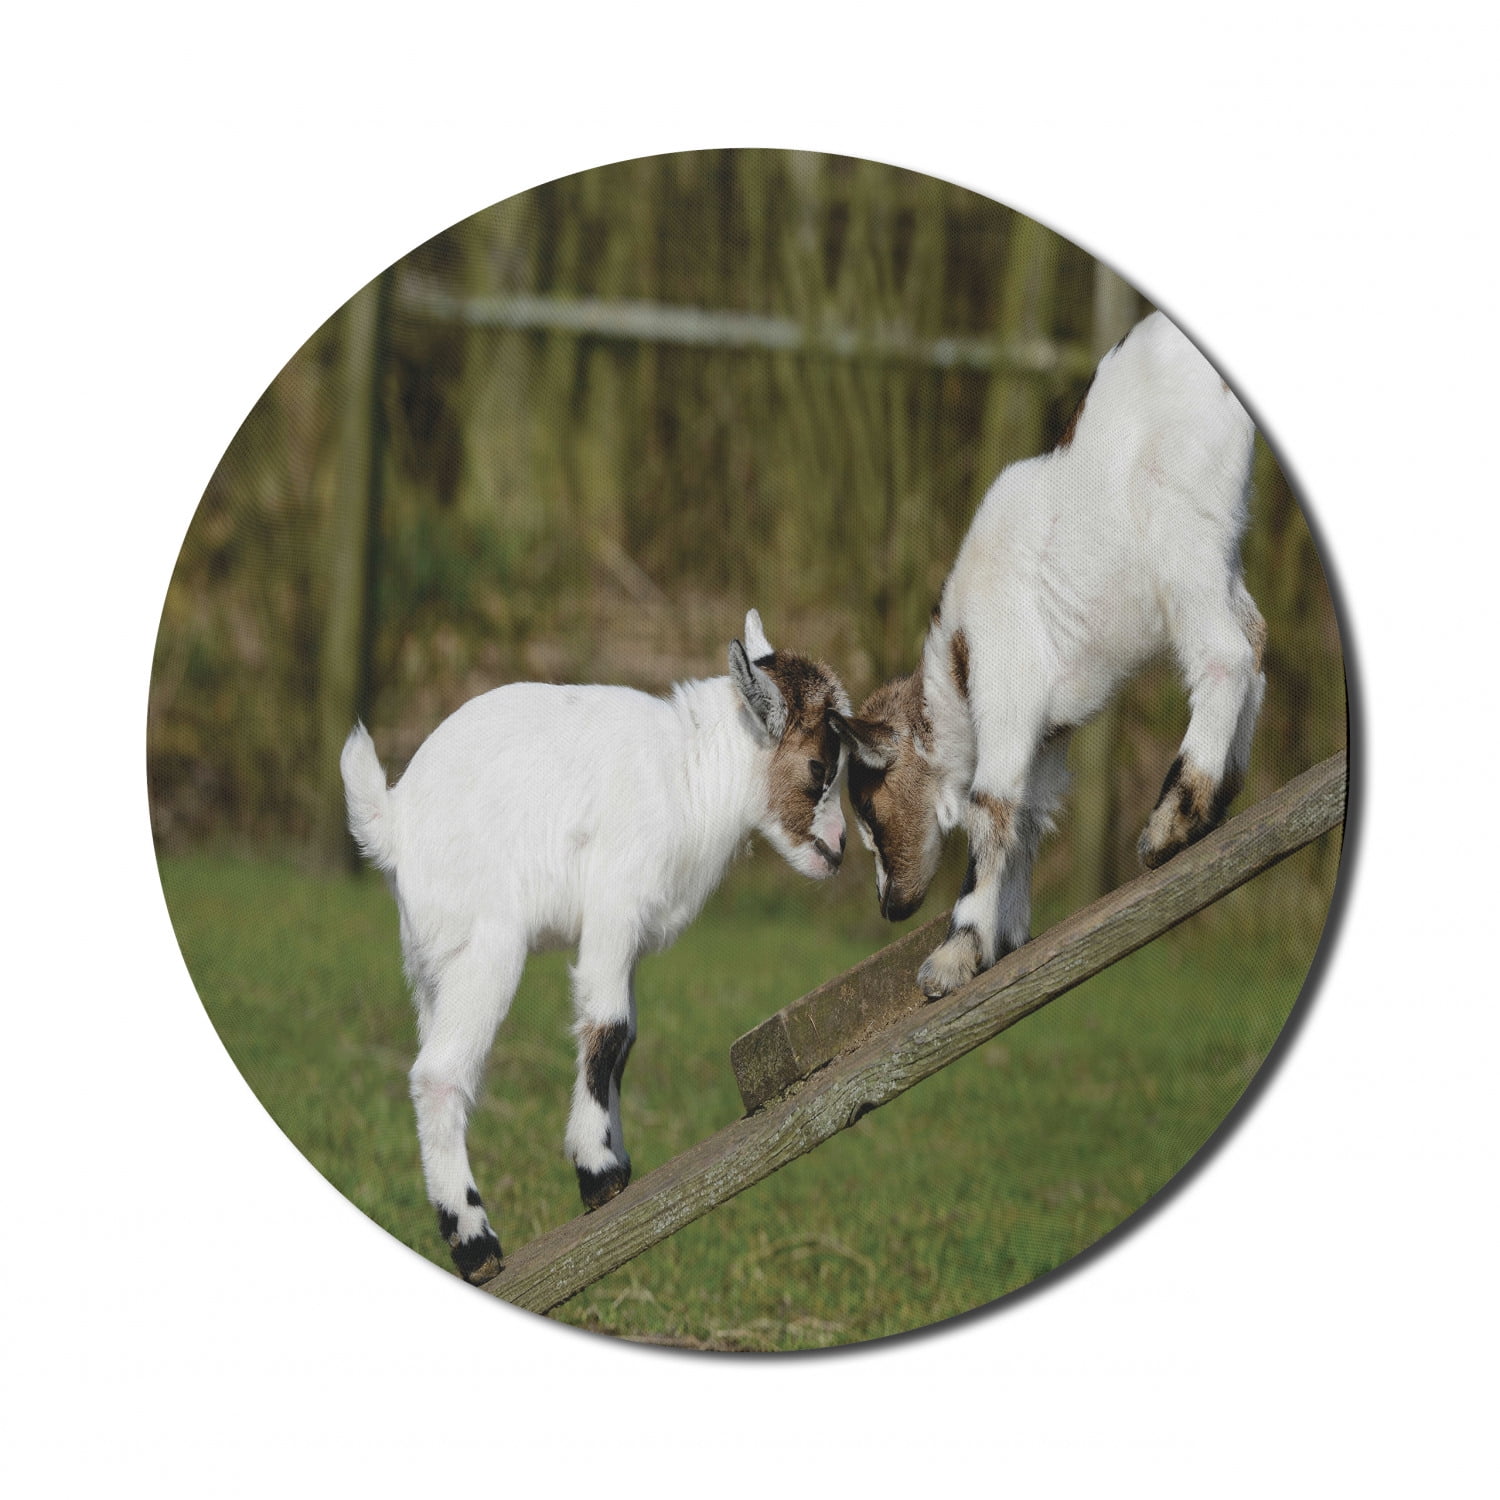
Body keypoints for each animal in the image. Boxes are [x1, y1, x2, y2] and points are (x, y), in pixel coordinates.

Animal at [340, 611, 849, 1281]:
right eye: (818, 766)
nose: (839, 850)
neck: (690, 772)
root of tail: (393, 820)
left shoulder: (624, 936)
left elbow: (623, 1038)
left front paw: (617, 1163)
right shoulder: (615, 902)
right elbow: (607, 1026)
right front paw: (598, 1173)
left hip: (430, 965)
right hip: (484, 948)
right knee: (439, 1074)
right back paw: (477, 1244)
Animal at [830, 311, 1266, 1000]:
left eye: (870, 809)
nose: (890, 905)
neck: (957, 667)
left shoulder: (1006, 690)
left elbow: (990, 809)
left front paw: (954, 956)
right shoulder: (1048, 737)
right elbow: (1027, 818)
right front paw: (1002, 941)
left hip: (1177, 526)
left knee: (1223, 654)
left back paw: (1173, 821)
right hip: (1216, 539)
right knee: (1253, 638)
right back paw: (1214, 804)